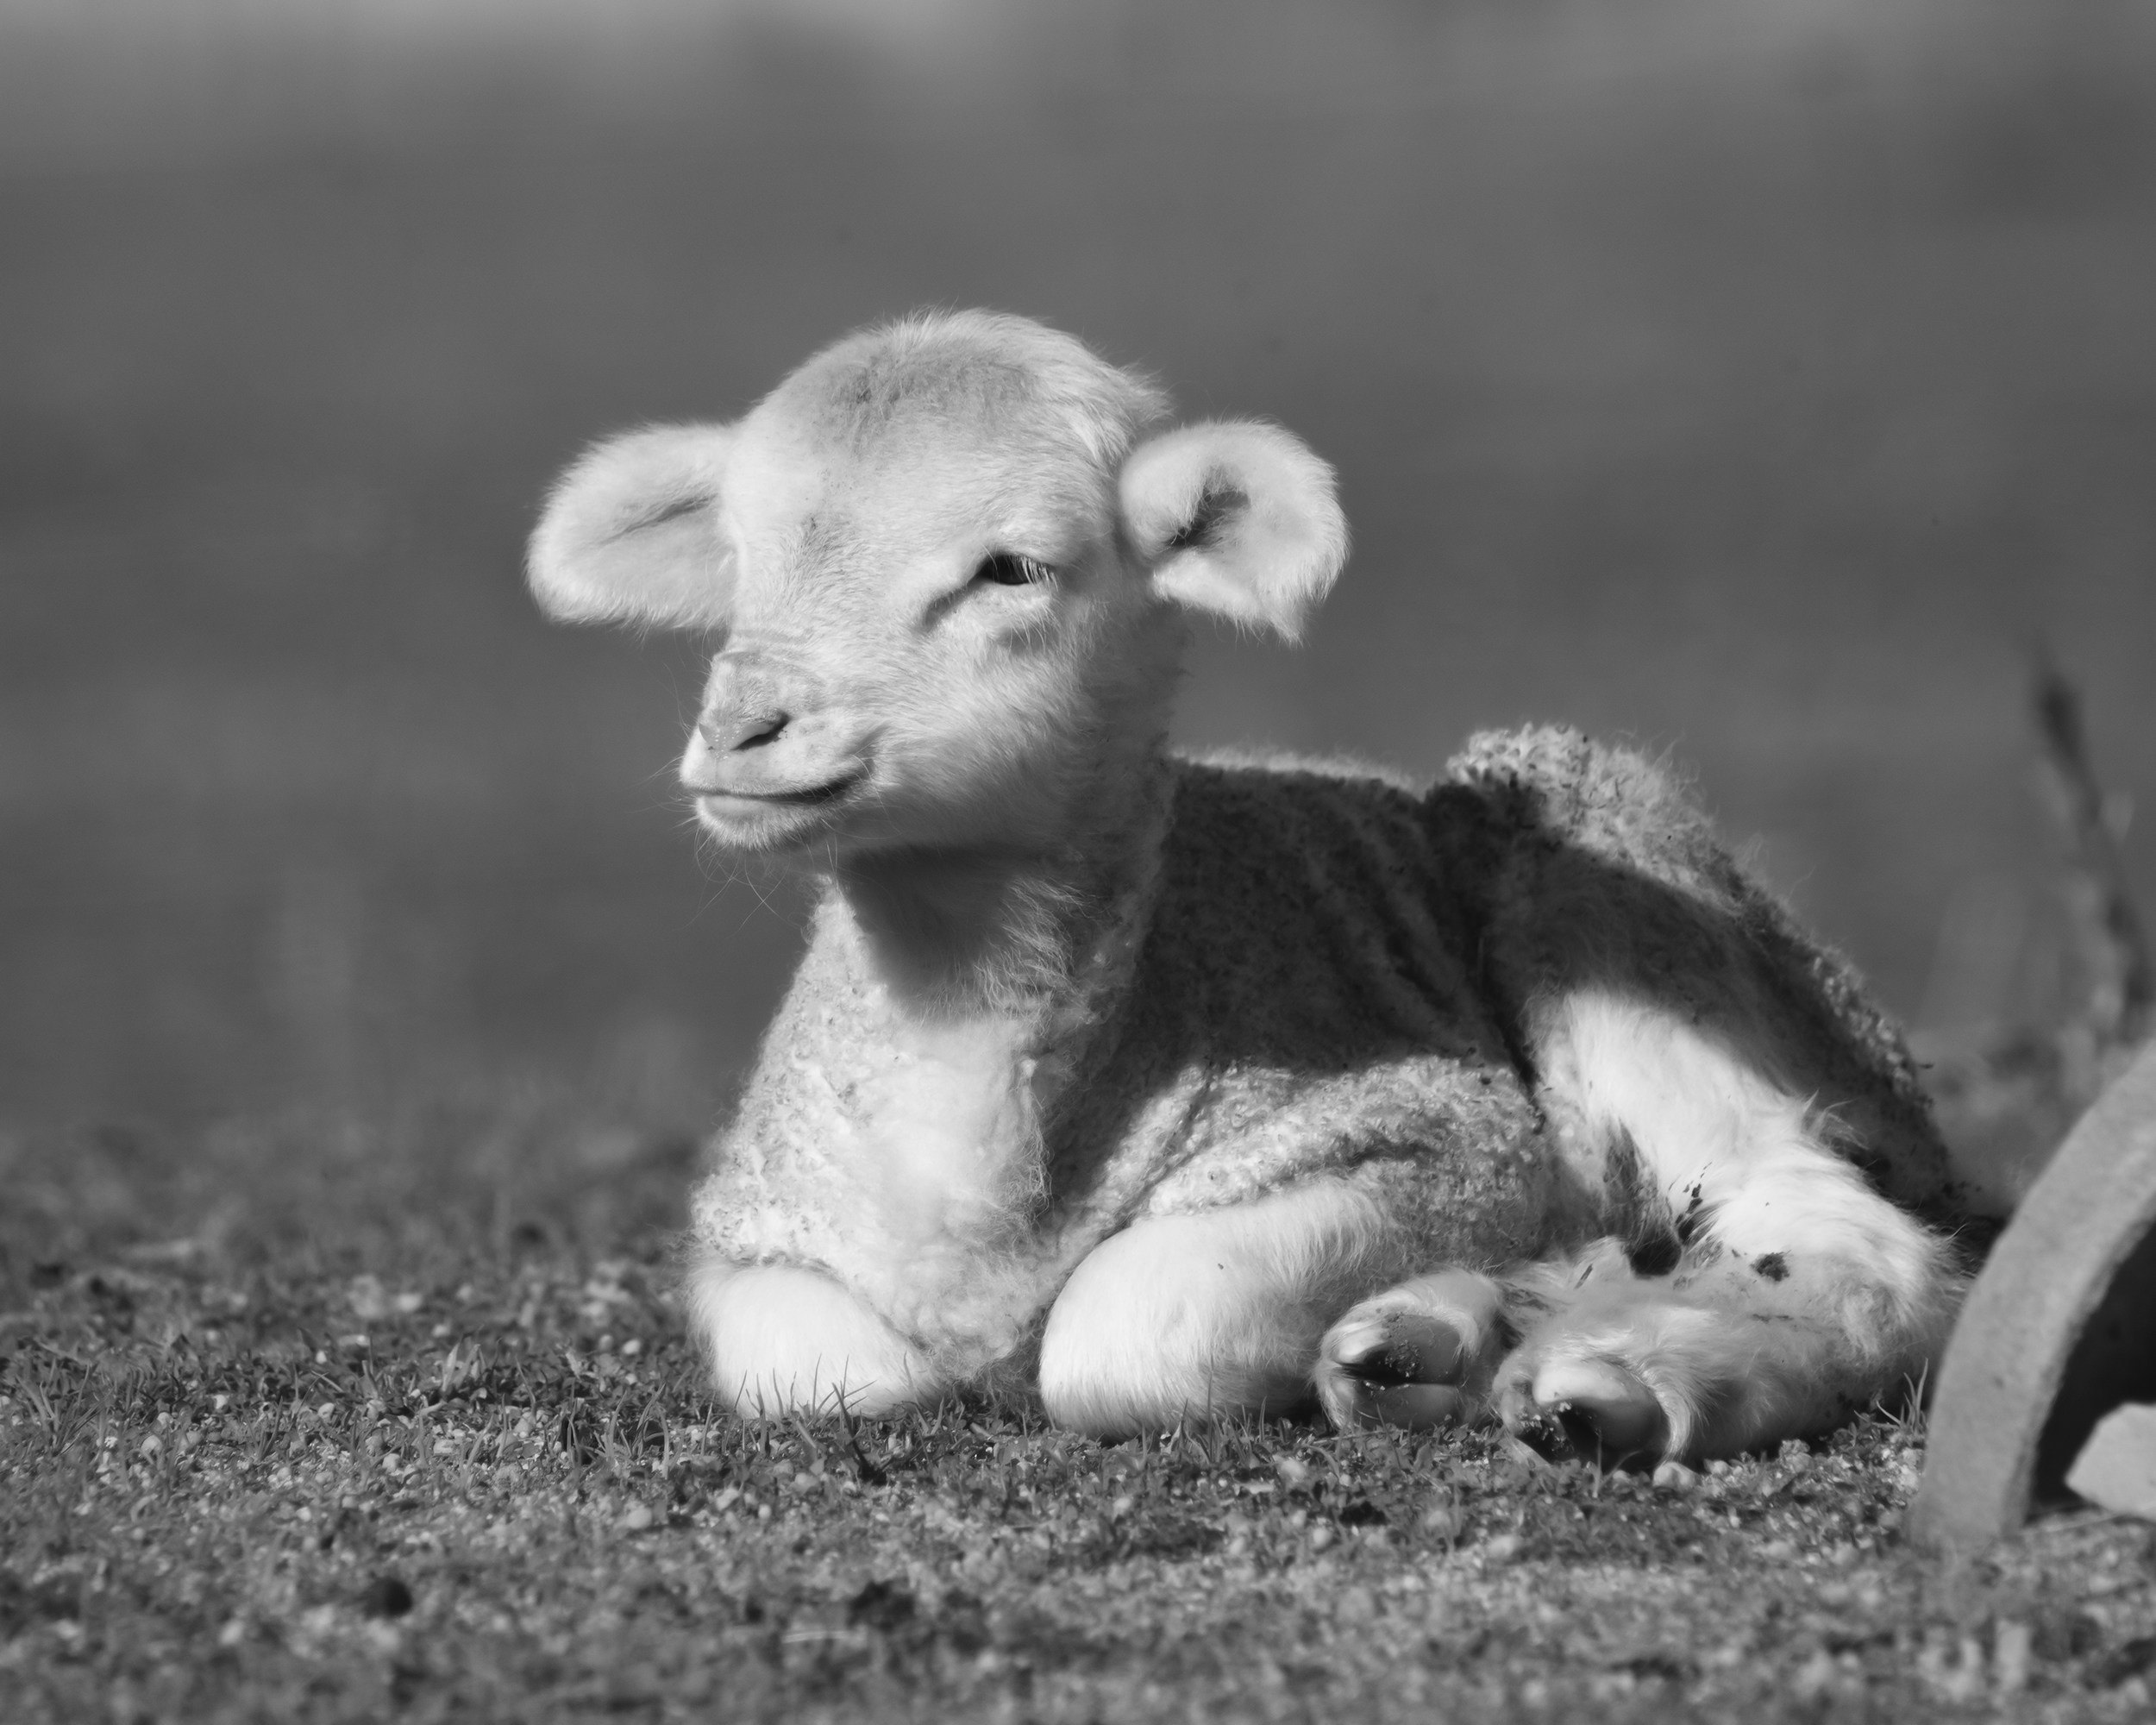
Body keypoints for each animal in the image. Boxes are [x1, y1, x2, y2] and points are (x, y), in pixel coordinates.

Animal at [527, 309, 1976, 1464]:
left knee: (1845, 1238)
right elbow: (830, 1373)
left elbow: (1128, 1332)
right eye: (743, 566)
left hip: (1610, 879)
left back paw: (1616, 1384)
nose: (743, 731)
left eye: (1011, 568)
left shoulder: (1441, 1131)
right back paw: (1434, 1342)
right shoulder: (749, 1229)